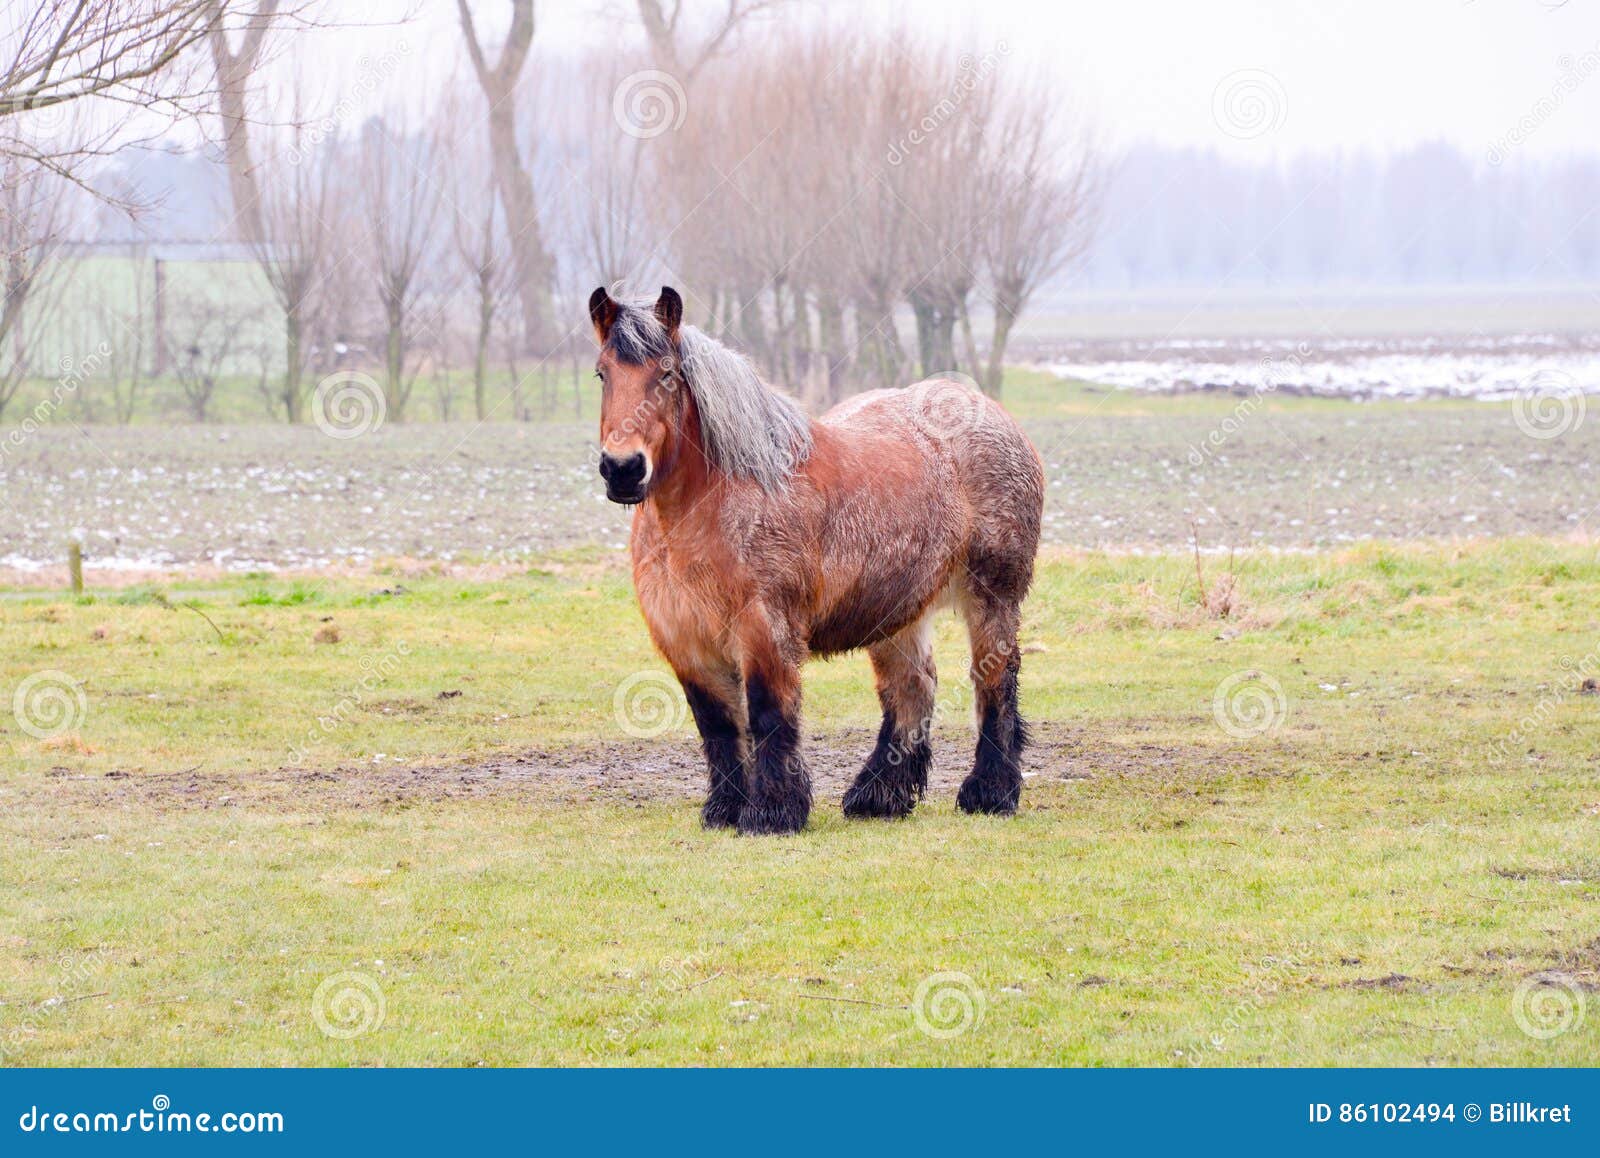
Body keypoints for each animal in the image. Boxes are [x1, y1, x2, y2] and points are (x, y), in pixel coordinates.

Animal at [590, 286, 1044, 835]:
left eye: (668, 374)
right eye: (602, 373)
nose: (622, 469)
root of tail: (986, 409)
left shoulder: (766, 628)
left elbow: (769, 713)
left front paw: (772, 813)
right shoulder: (685, 640)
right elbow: (717, 725)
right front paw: (724, 810)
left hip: (992, 598)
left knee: (994, 679)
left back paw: (990, 792)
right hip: (897, 611)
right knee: (912, 687)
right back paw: (878, 797)